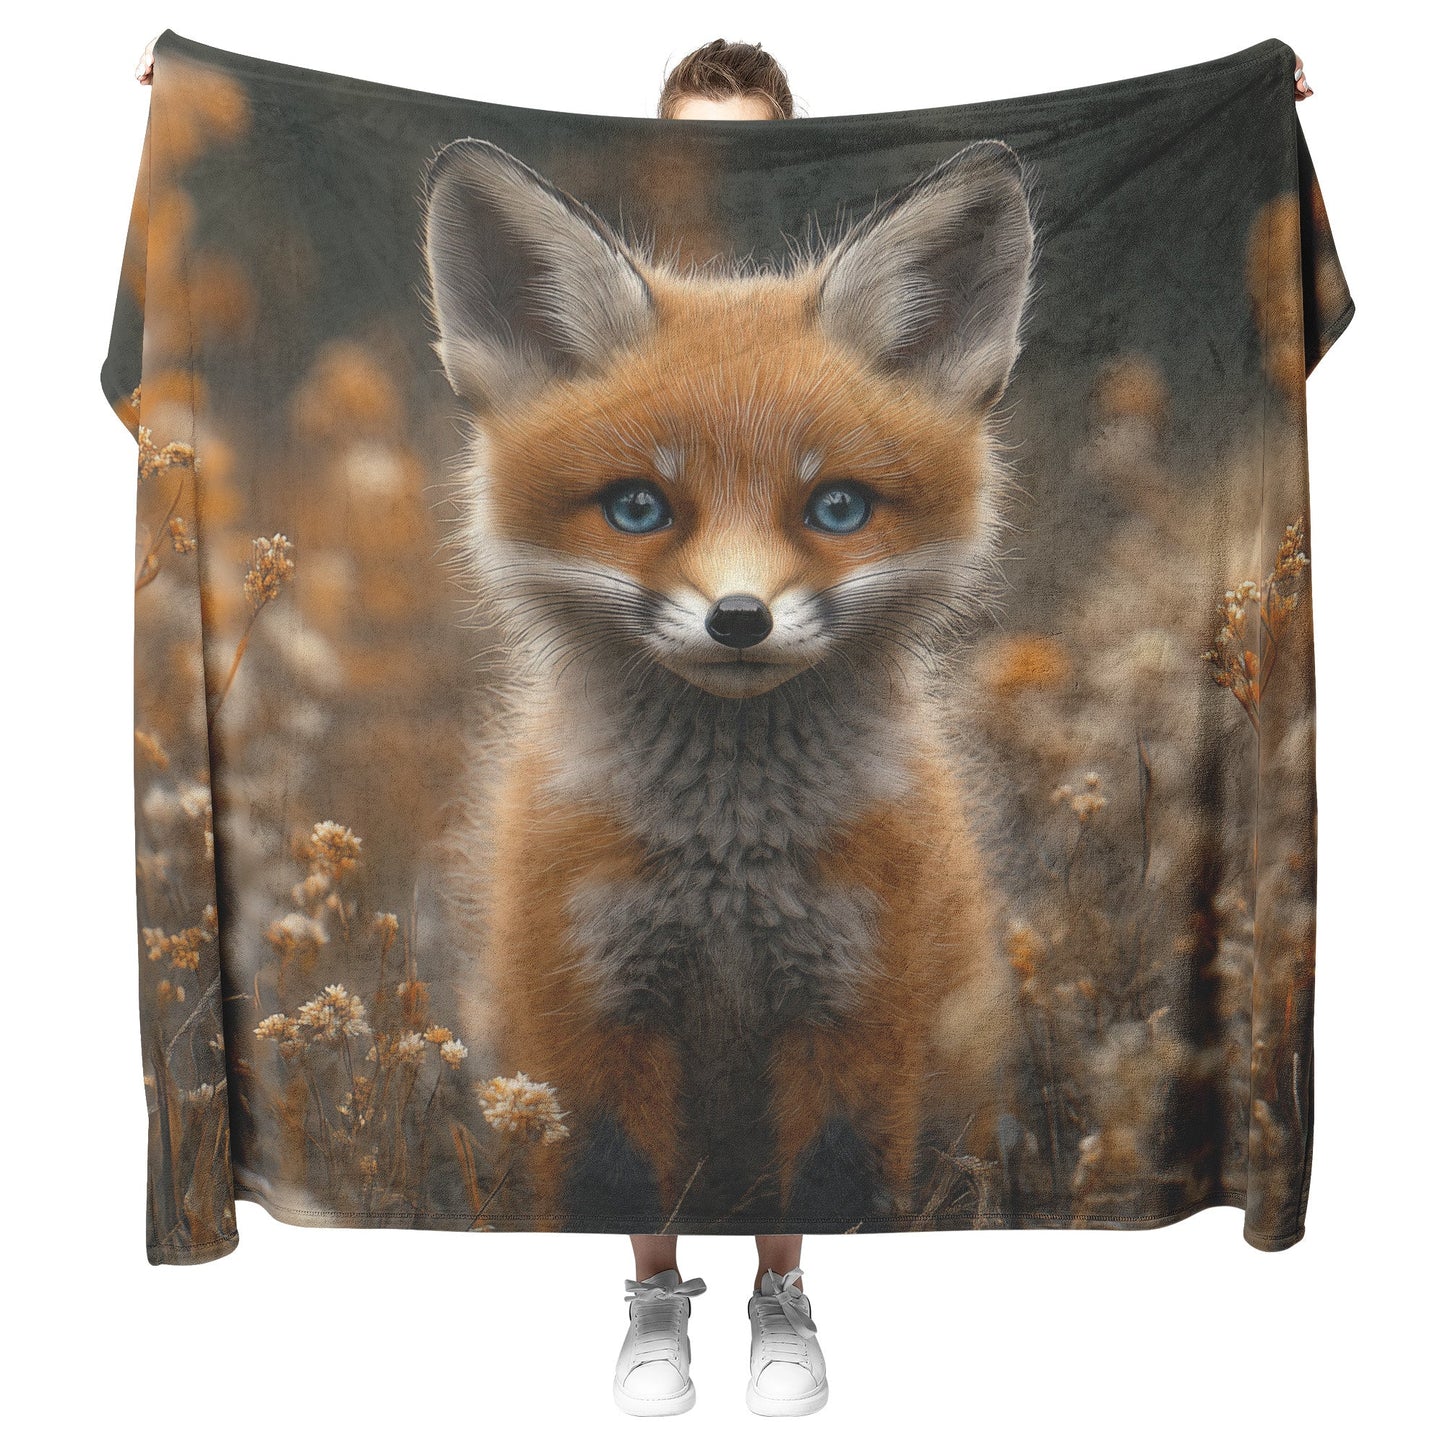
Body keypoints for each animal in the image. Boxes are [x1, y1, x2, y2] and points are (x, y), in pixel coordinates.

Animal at [423, 134, 1037, 1228]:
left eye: (837, 507)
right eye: (637, 507)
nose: (739, 619)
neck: (727, 861)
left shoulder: (856, 1006)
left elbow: (837, 1194)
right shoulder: (588, 1008)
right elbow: (609, 1190)